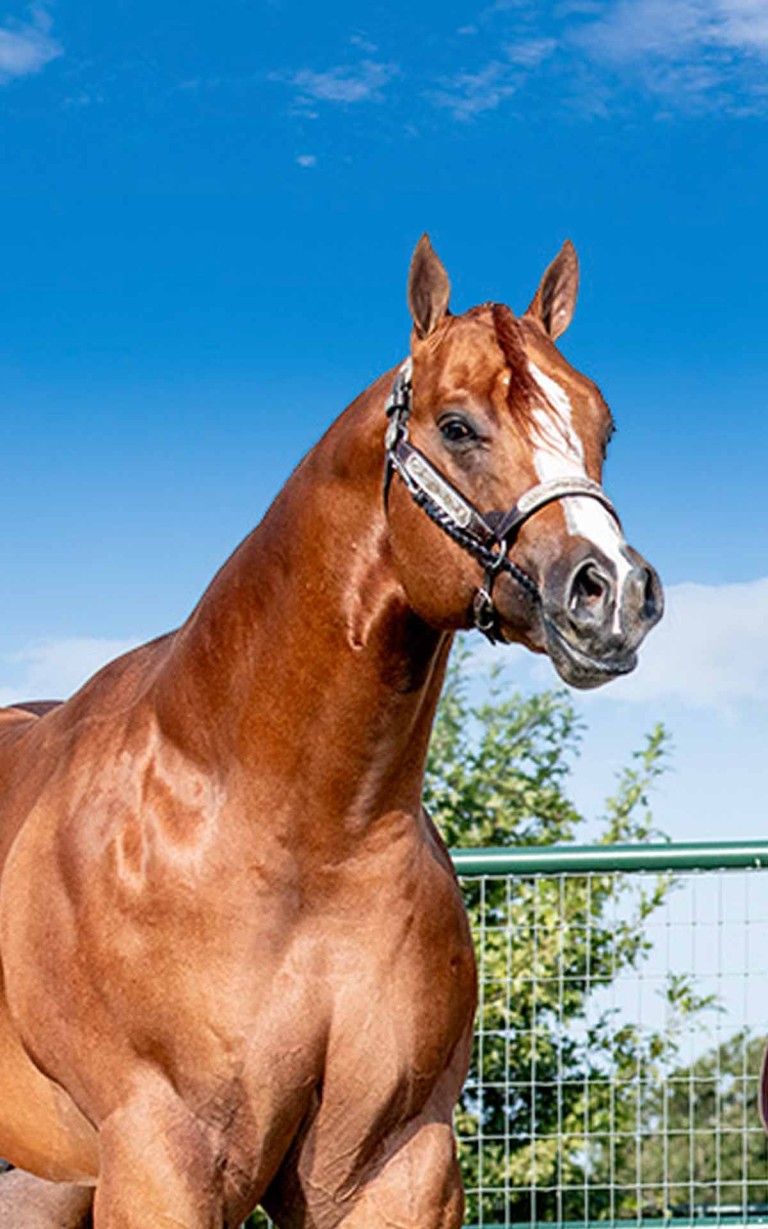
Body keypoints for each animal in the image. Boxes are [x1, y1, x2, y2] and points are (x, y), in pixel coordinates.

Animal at [0, 235, 662, 1229]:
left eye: (602, 426)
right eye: (457, 425)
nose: (612, 592)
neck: (298, 838)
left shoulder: (390, 1165)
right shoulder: (163, 1161)